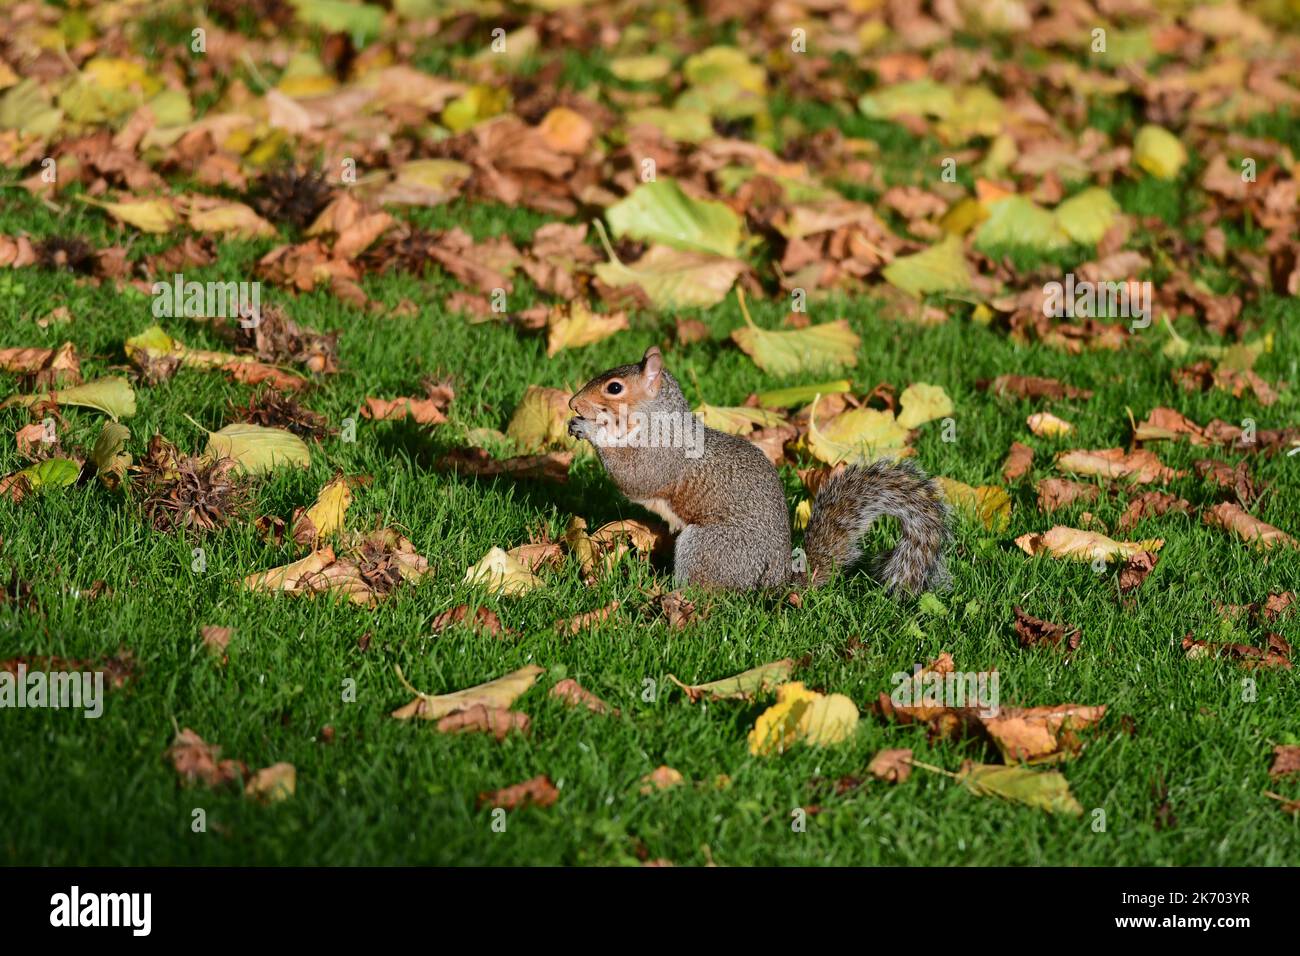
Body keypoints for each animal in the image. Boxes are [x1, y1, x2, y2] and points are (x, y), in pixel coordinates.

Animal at [567, 346, 951, 595]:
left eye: (614, 387)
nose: (572, 403)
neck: (656, 419)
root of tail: (777, 581)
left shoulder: (663, 457)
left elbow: (635, 476)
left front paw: (591, 430)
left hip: (710, 546)